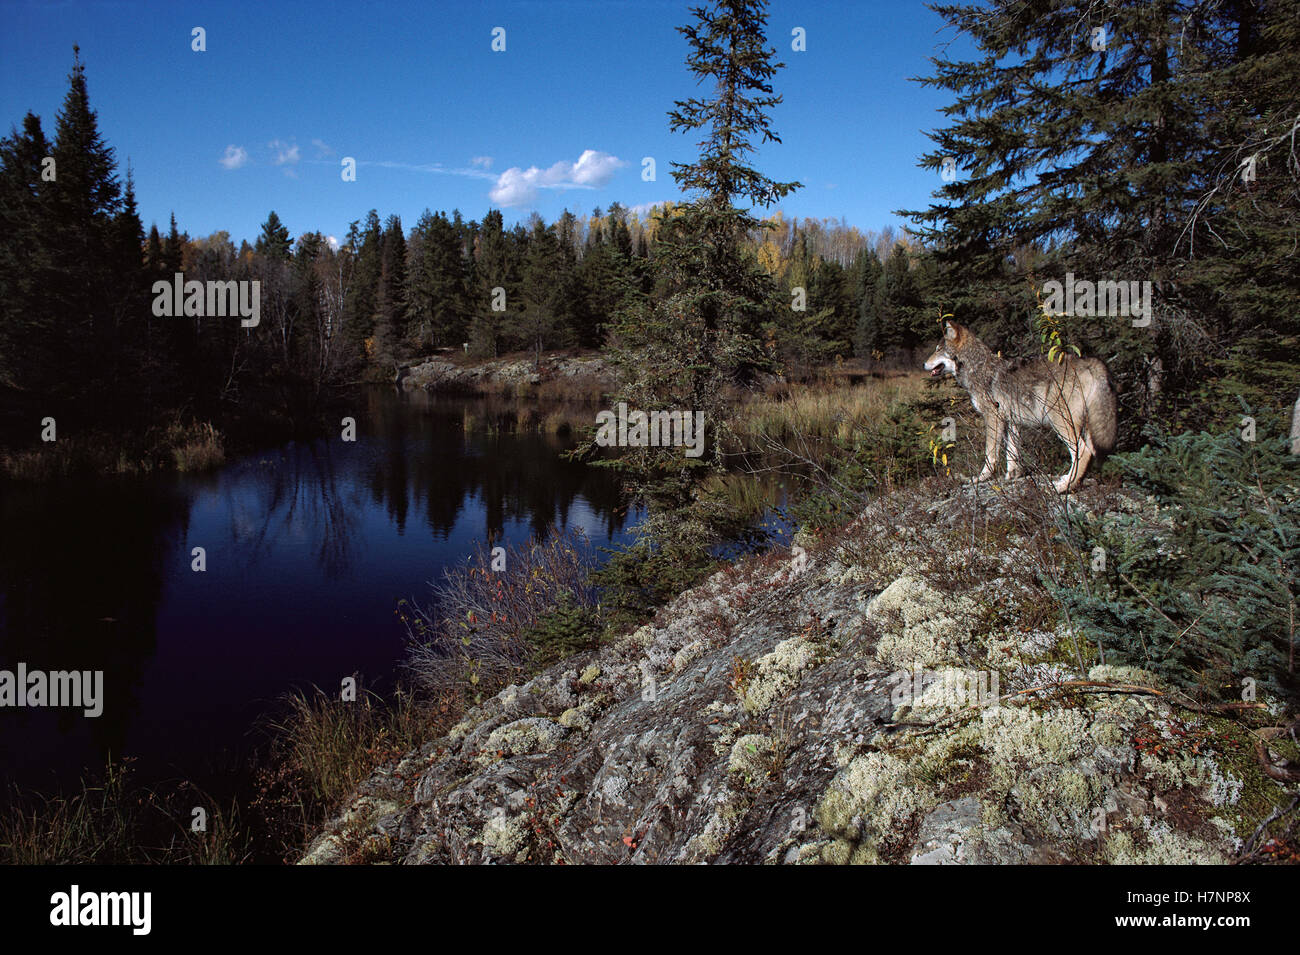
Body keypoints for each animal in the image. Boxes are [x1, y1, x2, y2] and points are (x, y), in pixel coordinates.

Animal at [923, 320, 1117, 493]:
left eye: (938, 350)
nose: (924, 364)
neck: (977, 367)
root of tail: (1088, 361)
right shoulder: (1012, 421)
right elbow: (1012, 454)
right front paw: (1011, 477)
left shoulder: (993, 418)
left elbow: (990, 455)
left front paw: (980, 479)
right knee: (1092, 452)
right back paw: (1075, 482)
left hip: (1059, 421)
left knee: (1083, 452)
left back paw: (1063, 487)